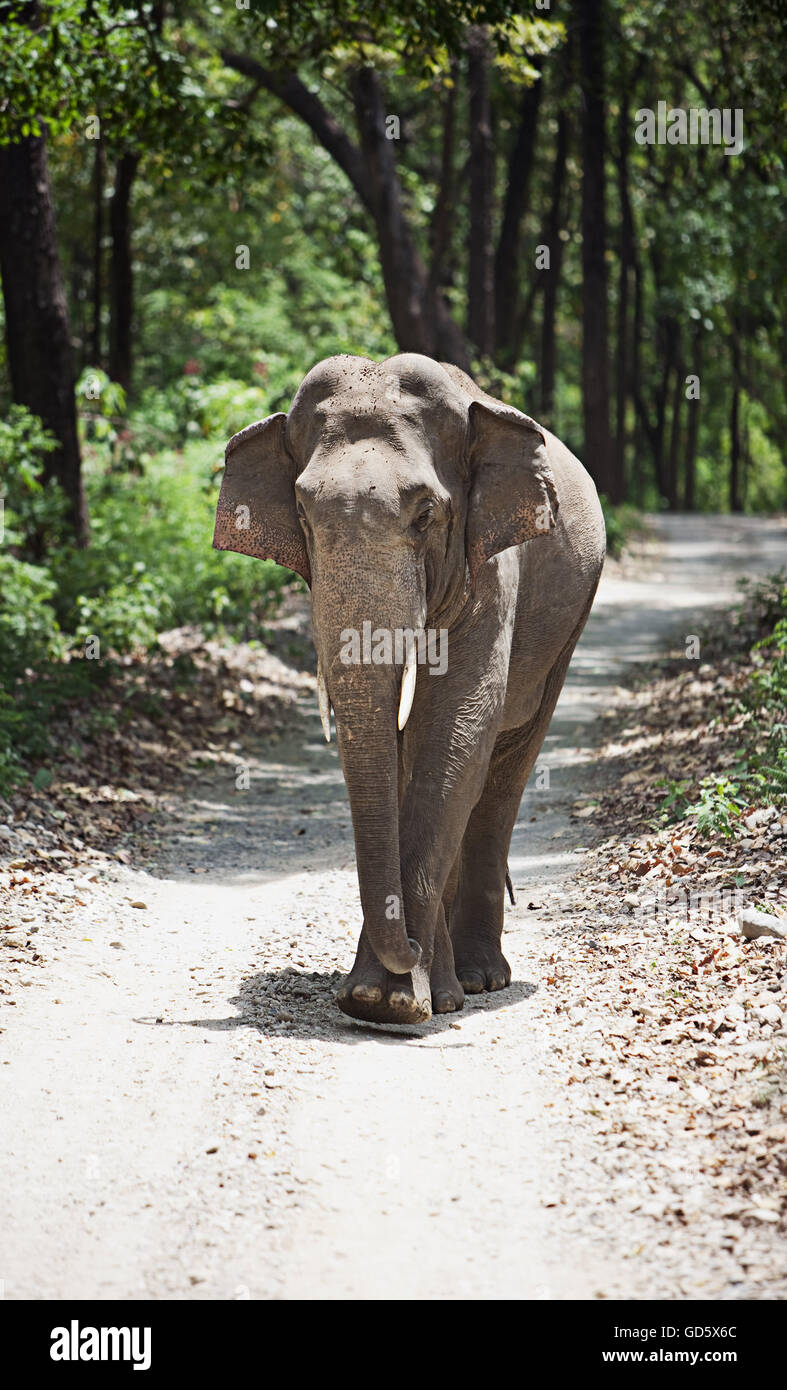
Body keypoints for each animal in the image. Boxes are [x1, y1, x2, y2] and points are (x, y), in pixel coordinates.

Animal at [213, 353, 605, 1026]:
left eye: (425, 514)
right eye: (303, 513)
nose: (411, 950)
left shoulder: (491, 567)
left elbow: (455, 732)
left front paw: (394, 1002)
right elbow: (399, 755)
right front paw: (381, 996)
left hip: (571, 626)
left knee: (506, 768)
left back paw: (480, 979)